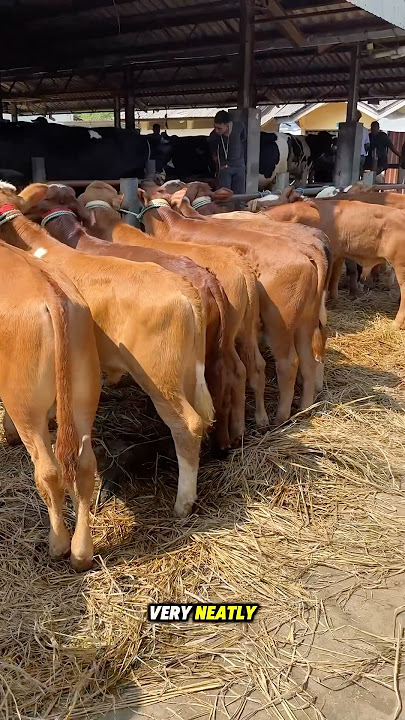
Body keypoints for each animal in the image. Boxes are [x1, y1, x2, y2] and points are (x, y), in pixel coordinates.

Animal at [0, 187, 101, 571]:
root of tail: (52, 297)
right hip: (85, 393)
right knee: (84, 466)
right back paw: (81, 552)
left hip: (24, 402)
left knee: (48, 471)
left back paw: (58, 543)